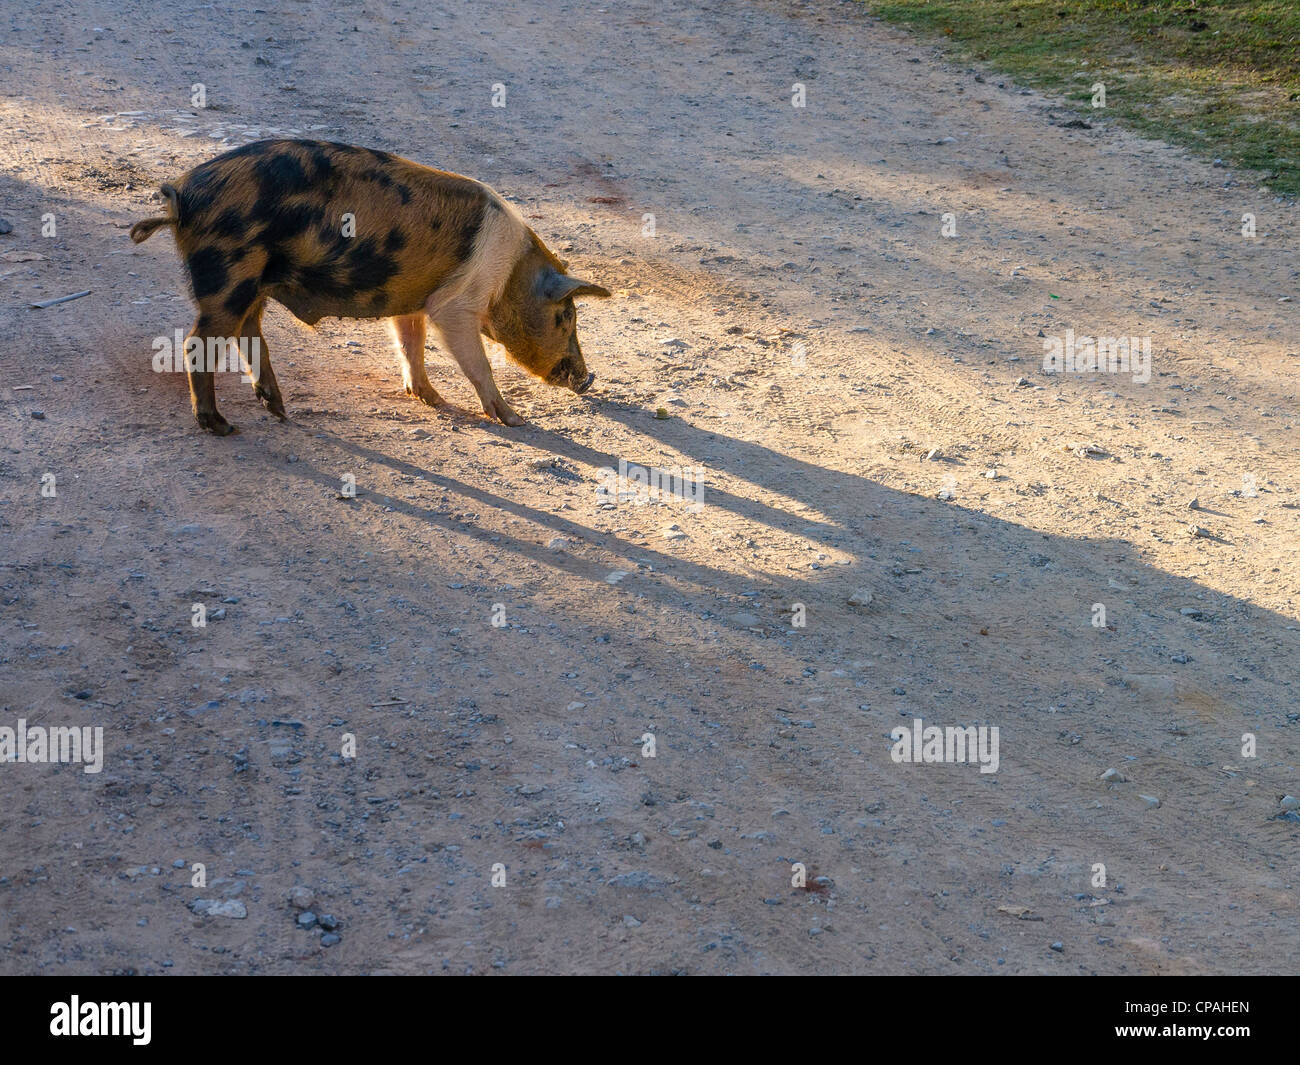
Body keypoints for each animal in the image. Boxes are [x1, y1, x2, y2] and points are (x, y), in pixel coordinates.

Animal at [130, 139, 611, 435]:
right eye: (566, 316)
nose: (587, 379)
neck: (509, 275)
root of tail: (181, 195)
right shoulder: (455, 306)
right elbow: (477, 364)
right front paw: (516, 421)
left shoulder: (414, 300)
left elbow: (410, 344)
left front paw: (432, 399)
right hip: (230, 276)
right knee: (198, 341)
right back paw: (222, 426)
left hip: (251, 284)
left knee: (249, 333)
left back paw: (279, 410)